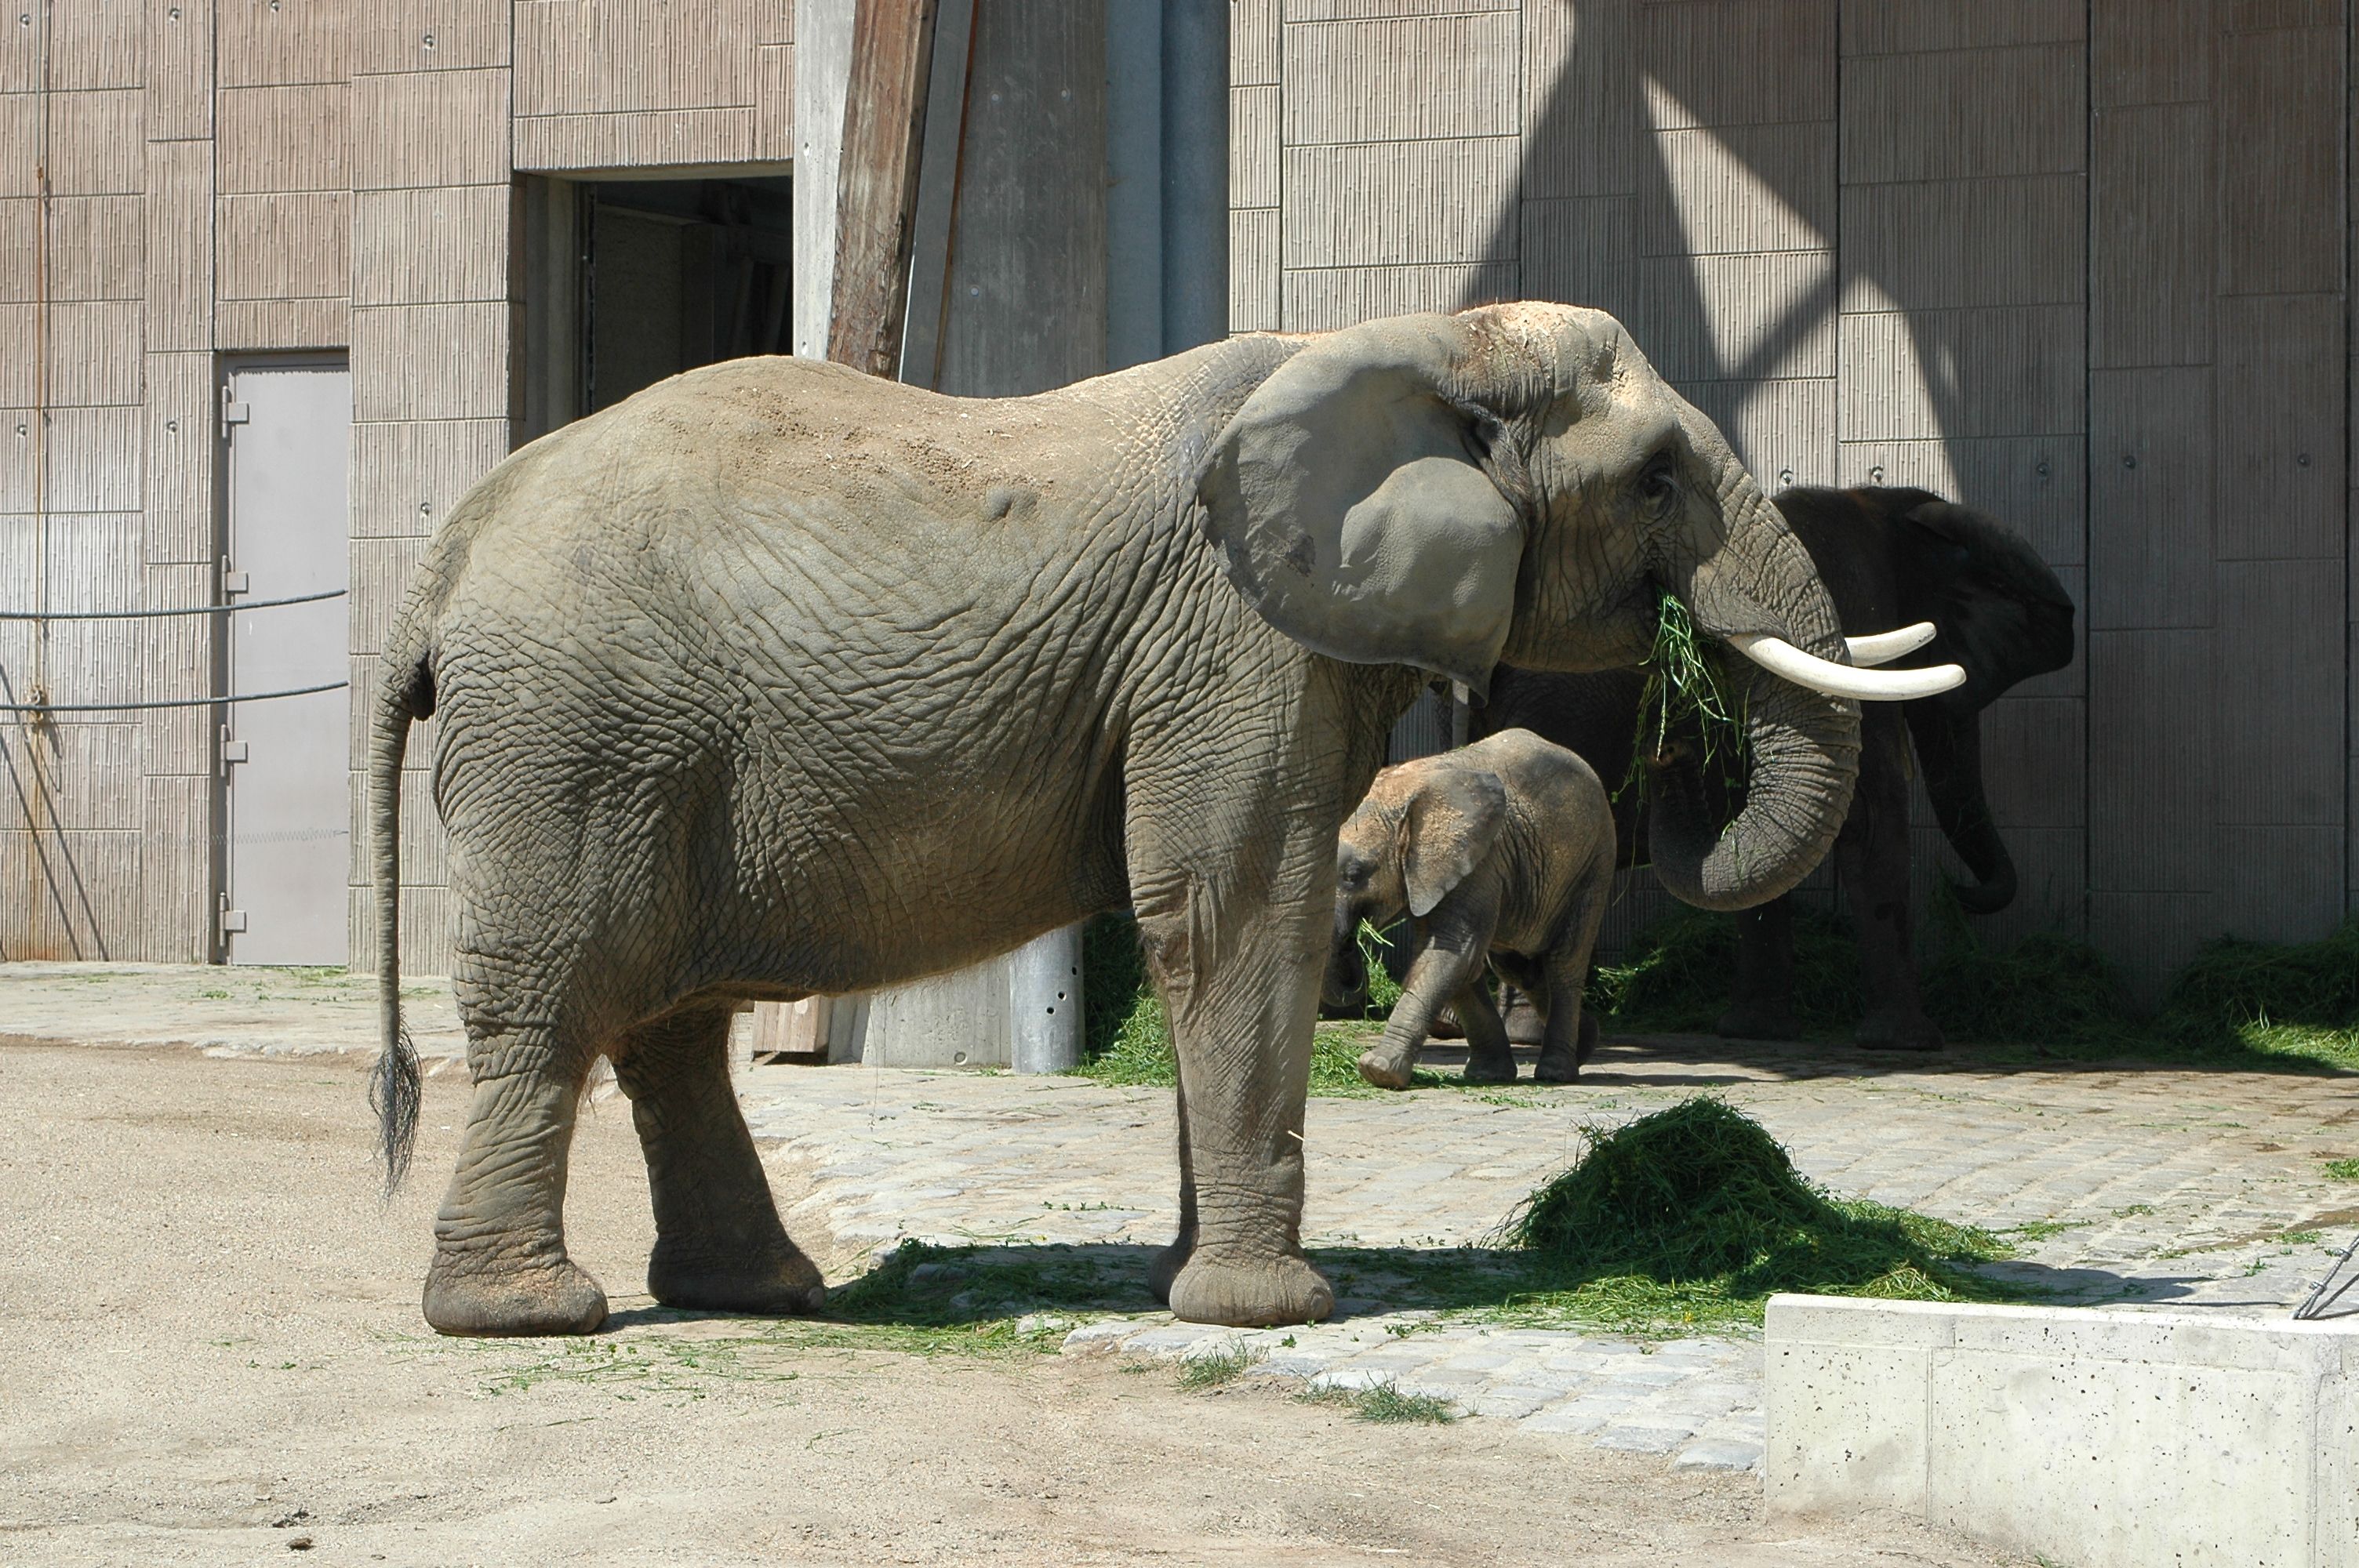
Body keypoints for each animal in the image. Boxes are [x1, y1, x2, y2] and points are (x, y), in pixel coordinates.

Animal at [1323, 728, 1615, 1088]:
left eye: (1354, 875)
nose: (1352, 943)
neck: (1405, 789)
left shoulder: (1481, 862)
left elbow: (1453, 953)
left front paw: (1377, 1070)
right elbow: (1456, 964)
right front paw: (1487, 1075)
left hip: (1595, 863)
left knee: (1564, 963)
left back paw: (1556, 1072)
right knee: (1519, 968)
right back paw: (1586, 1042)